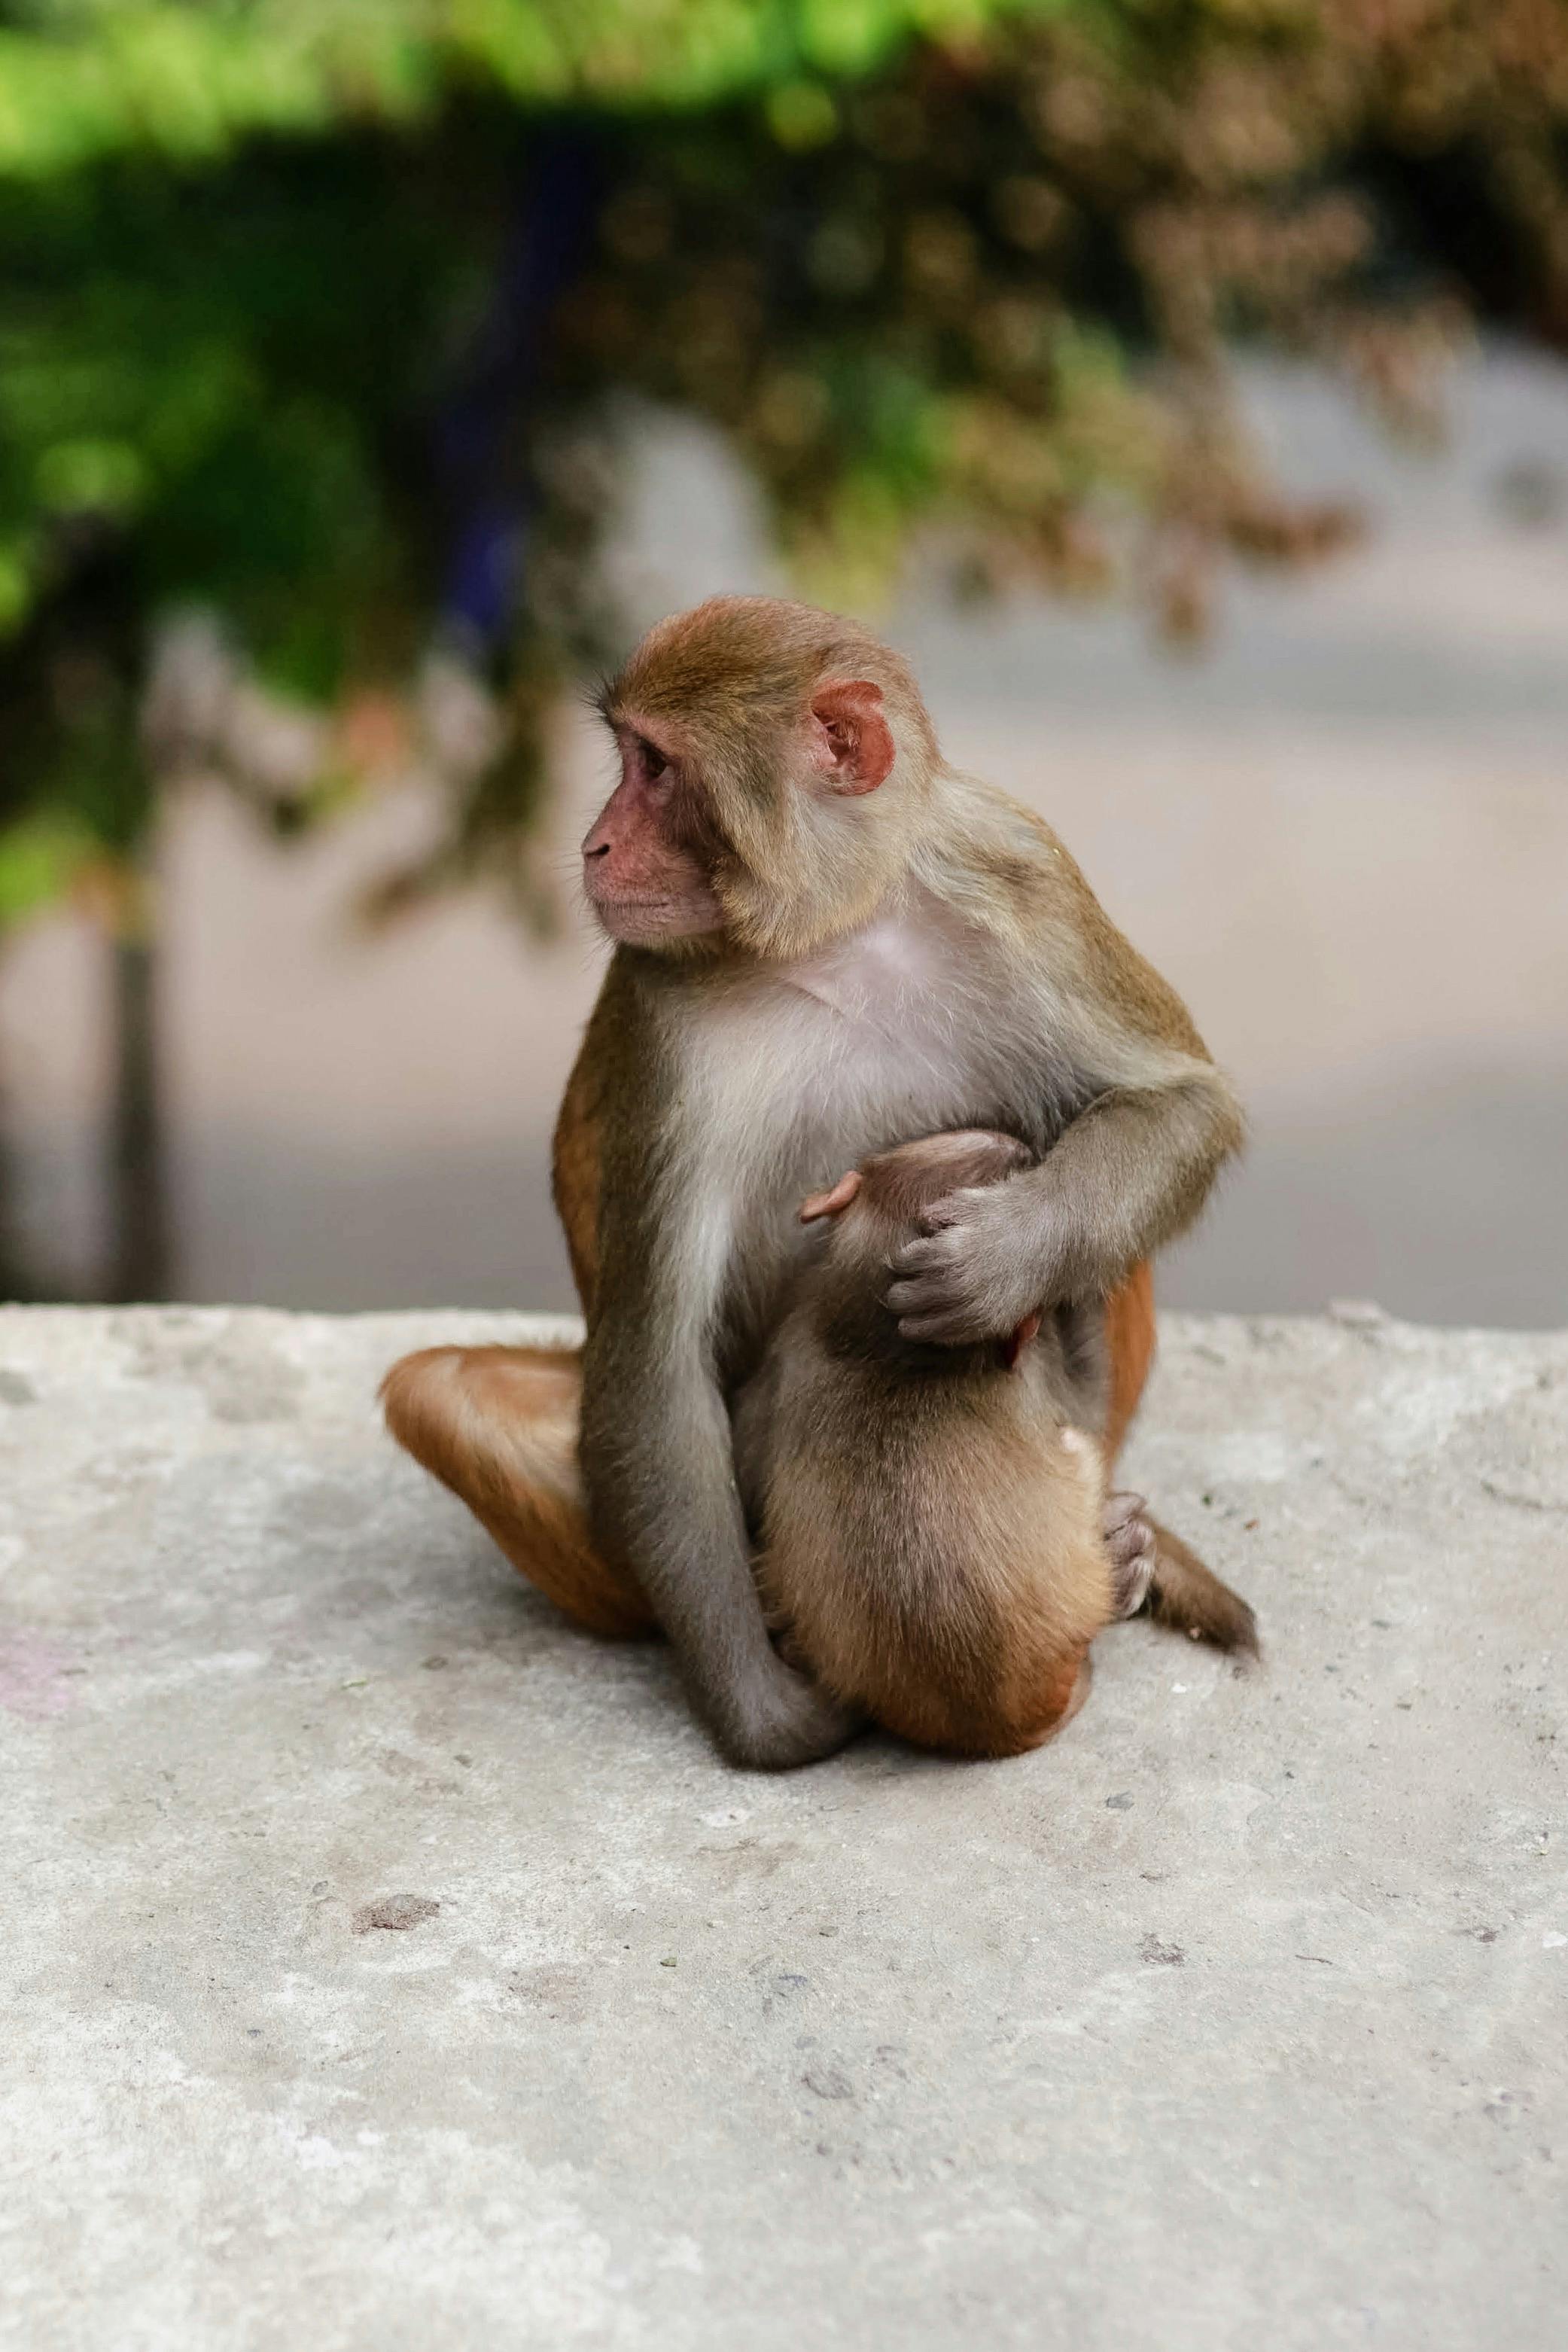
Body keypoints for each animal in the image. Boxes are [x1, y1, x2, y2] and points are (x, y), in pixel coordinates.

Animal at [731, 1128, 1161, 1757]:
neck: (884, 1356)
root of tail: (1001, 1724)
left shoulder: (791, 1344)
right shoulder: (1031, 1383)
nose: (1017, 1145)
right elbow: (1087, 1410)